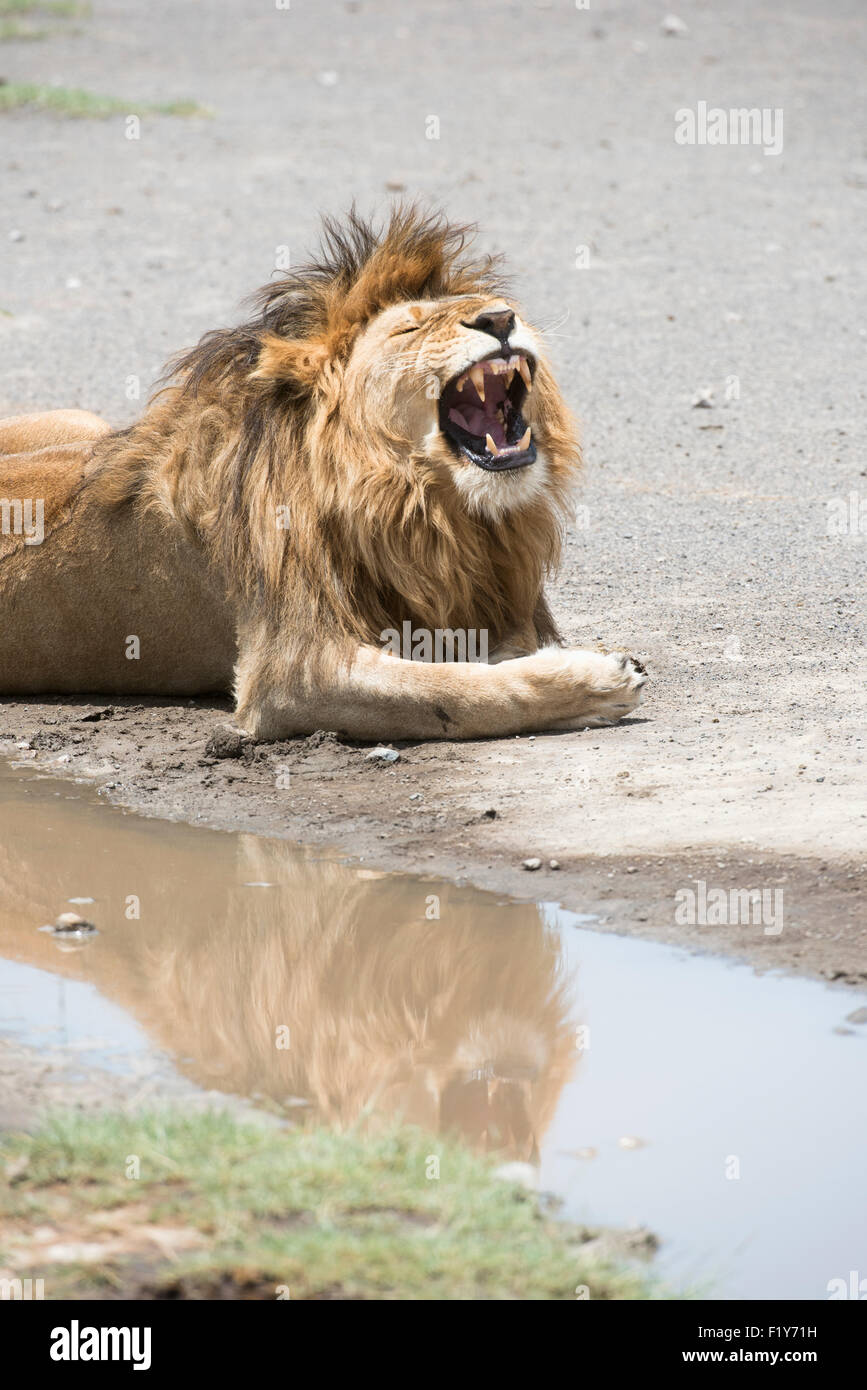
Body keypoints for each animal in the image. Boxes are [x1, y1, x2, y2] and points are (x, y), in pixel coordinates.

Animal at [0, 206, 646, 739]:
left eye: (489, 303)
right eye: (410, 328)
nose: (501, 317)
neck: (423, 502)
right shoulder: (296, 673)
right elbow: (456, 692)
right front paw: (596, 679)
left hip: (85, 423)